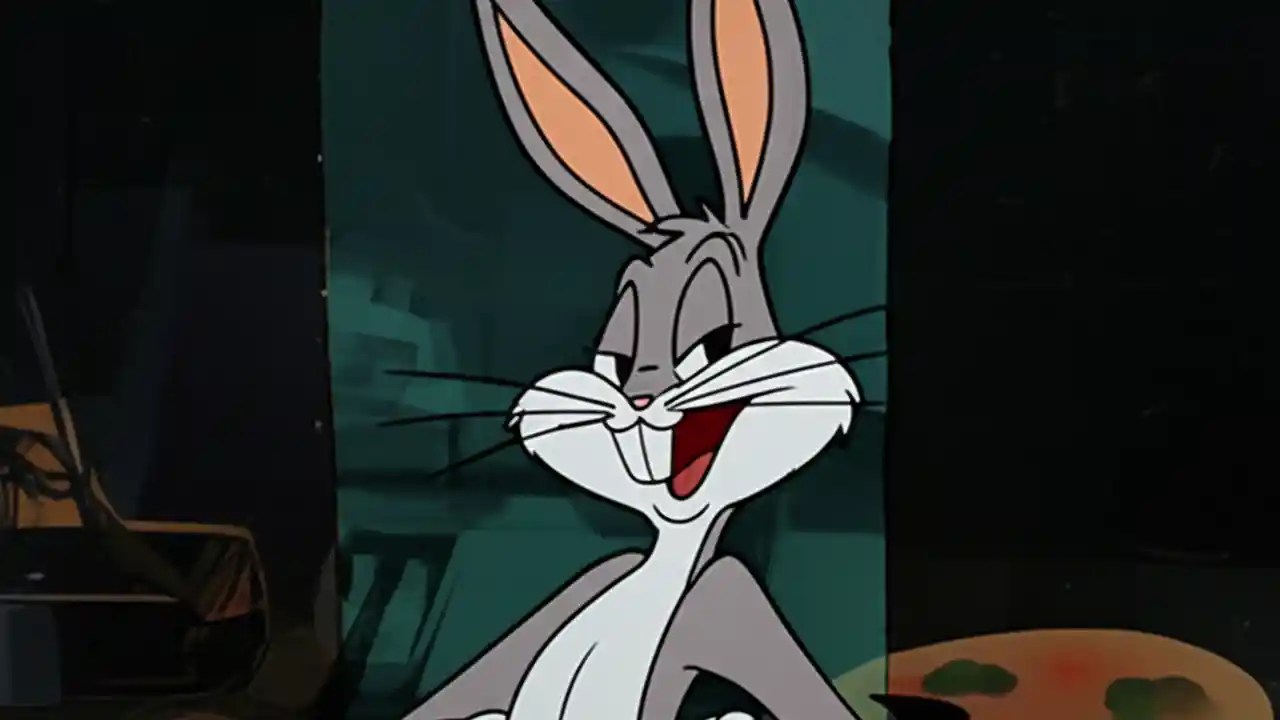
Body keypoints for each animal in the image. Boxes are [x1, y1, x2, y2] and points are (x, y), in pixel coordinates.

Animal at [404, 0, 867, 718]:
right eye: (615, 360)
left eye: (714, 340)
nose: (642, 397)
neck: (665, 562)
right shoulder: (592, 578)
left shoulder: (727, 597)